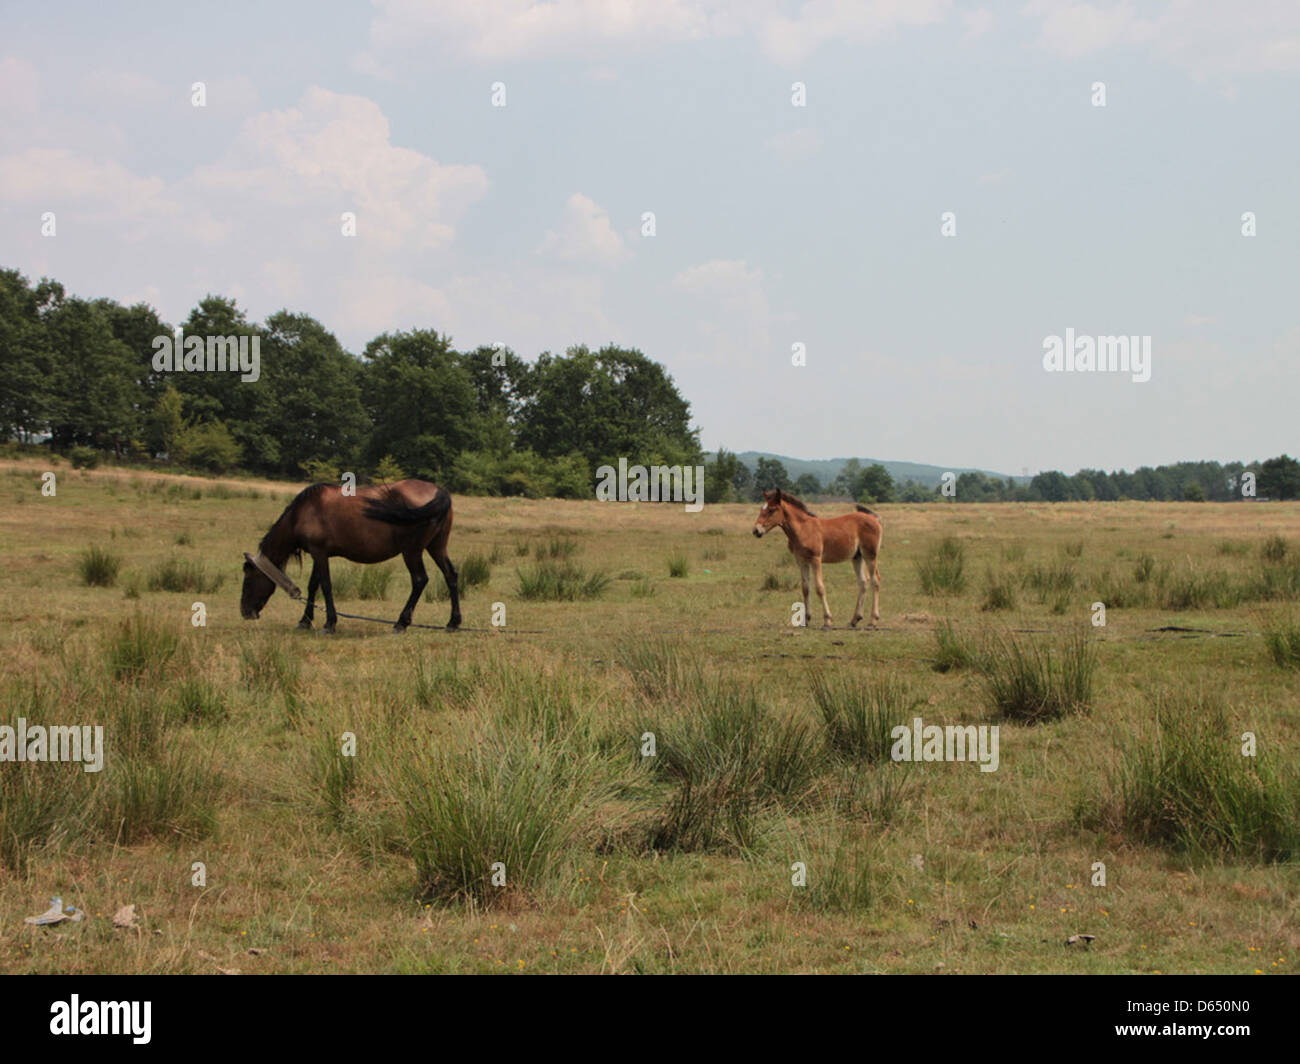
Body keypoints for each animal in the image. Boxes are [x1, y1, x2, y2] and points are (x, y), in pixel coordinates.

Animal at [240, 479, 461, 633]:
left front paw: (329, 623)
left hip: (412, 552)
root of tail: (439, 491)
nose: (245, 612)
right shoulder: (319, 553)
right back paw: (453, 622)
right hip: (437, 547)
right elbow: (314, 586)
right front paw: (305, 621)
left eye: (248, 579)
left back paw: (401, 623)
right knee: (451, 576)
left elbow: (325, 585)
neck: (303, 512)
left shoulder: (319, 553)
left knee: (419, 580)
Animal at [752, 489, 882, 629]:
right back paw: (855, 619)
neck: (803, 529)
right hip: (857, 557)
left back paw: (872, 621)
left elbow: (819, 587)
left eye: (772, 510)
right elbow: (805, 588)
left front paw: (827, 620)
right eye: (761, 509)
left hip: (870, 555)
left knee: (875, 580)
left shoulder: (815, 559)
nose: (756, 530)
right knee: (863, 582)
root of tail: (874, 518)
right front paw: (806, 619)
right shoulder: (801, 561)